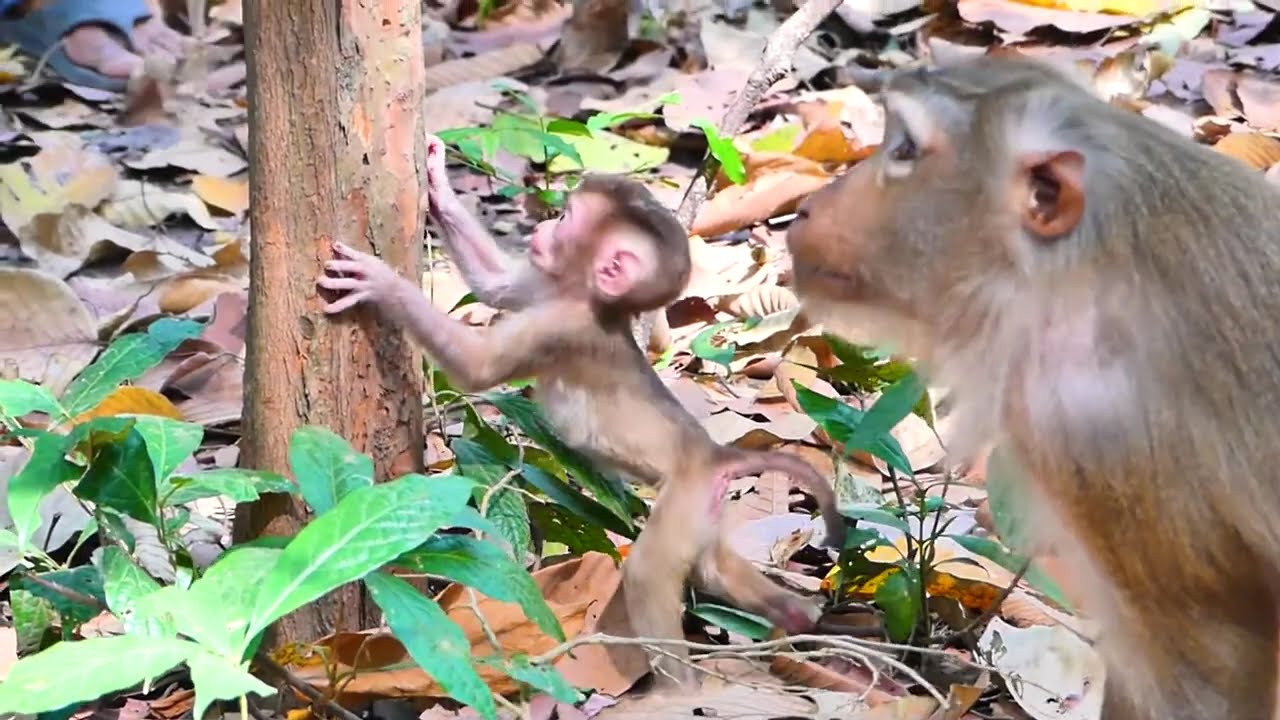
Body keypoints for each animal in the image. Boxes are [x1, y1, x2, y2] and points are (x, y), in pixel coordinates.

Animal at [317, 134, 847, 687]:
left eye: (568, 217)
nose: (543, 227)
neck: (588, 297)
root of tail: (717, 456)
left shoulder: (563, 324)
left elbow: (478, 368)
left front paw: (380, 283)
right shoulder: (545, 287)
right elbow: (495, 284)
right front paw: (439, 180)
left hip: (684, 497)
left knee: (650, 571)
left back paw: (678, 689)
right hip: (708, 506)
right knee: (714, 566)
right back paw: (799, 618)